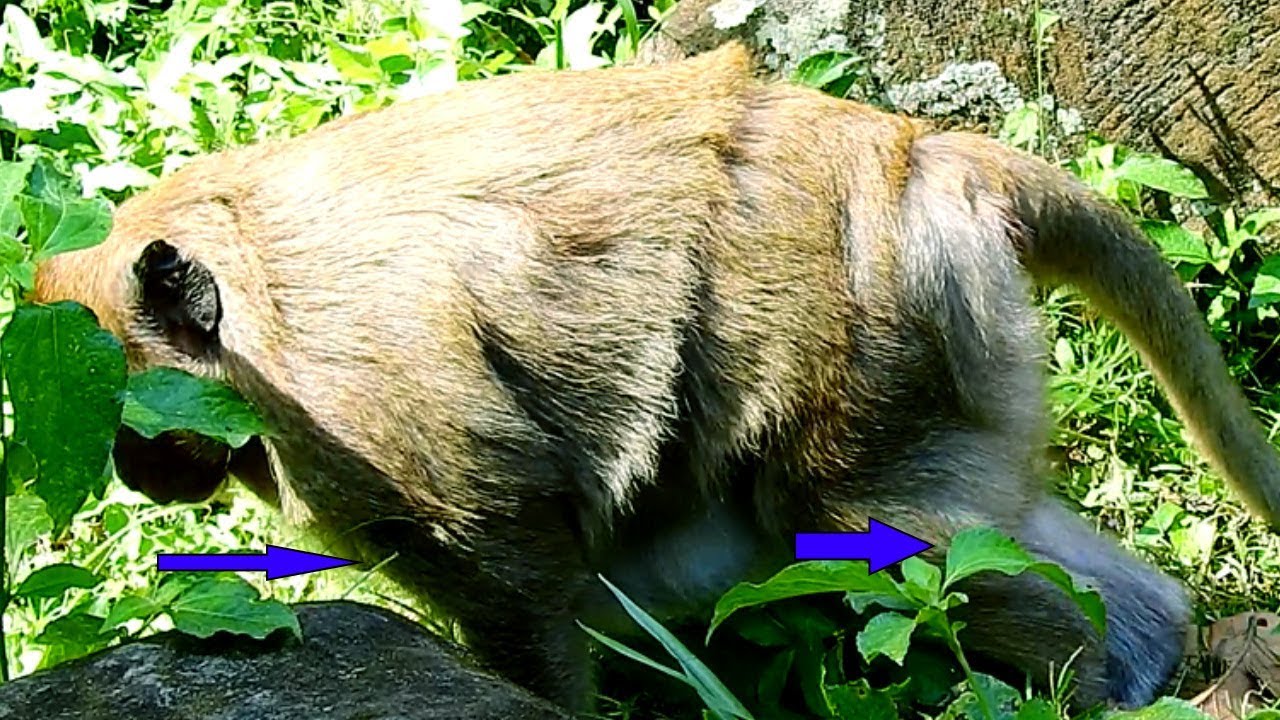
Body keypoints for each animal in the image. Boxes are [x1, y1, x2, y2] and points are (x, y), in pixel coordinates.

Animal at [32, 42, 1280, 714]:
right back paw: (1141, 660)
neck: (253, 308)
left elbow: (518, 577)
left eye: (127, 415)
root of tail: (920, 153)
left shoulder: (363, 422)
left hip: (870, 337)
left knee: (864, 529)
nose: (139, 472)